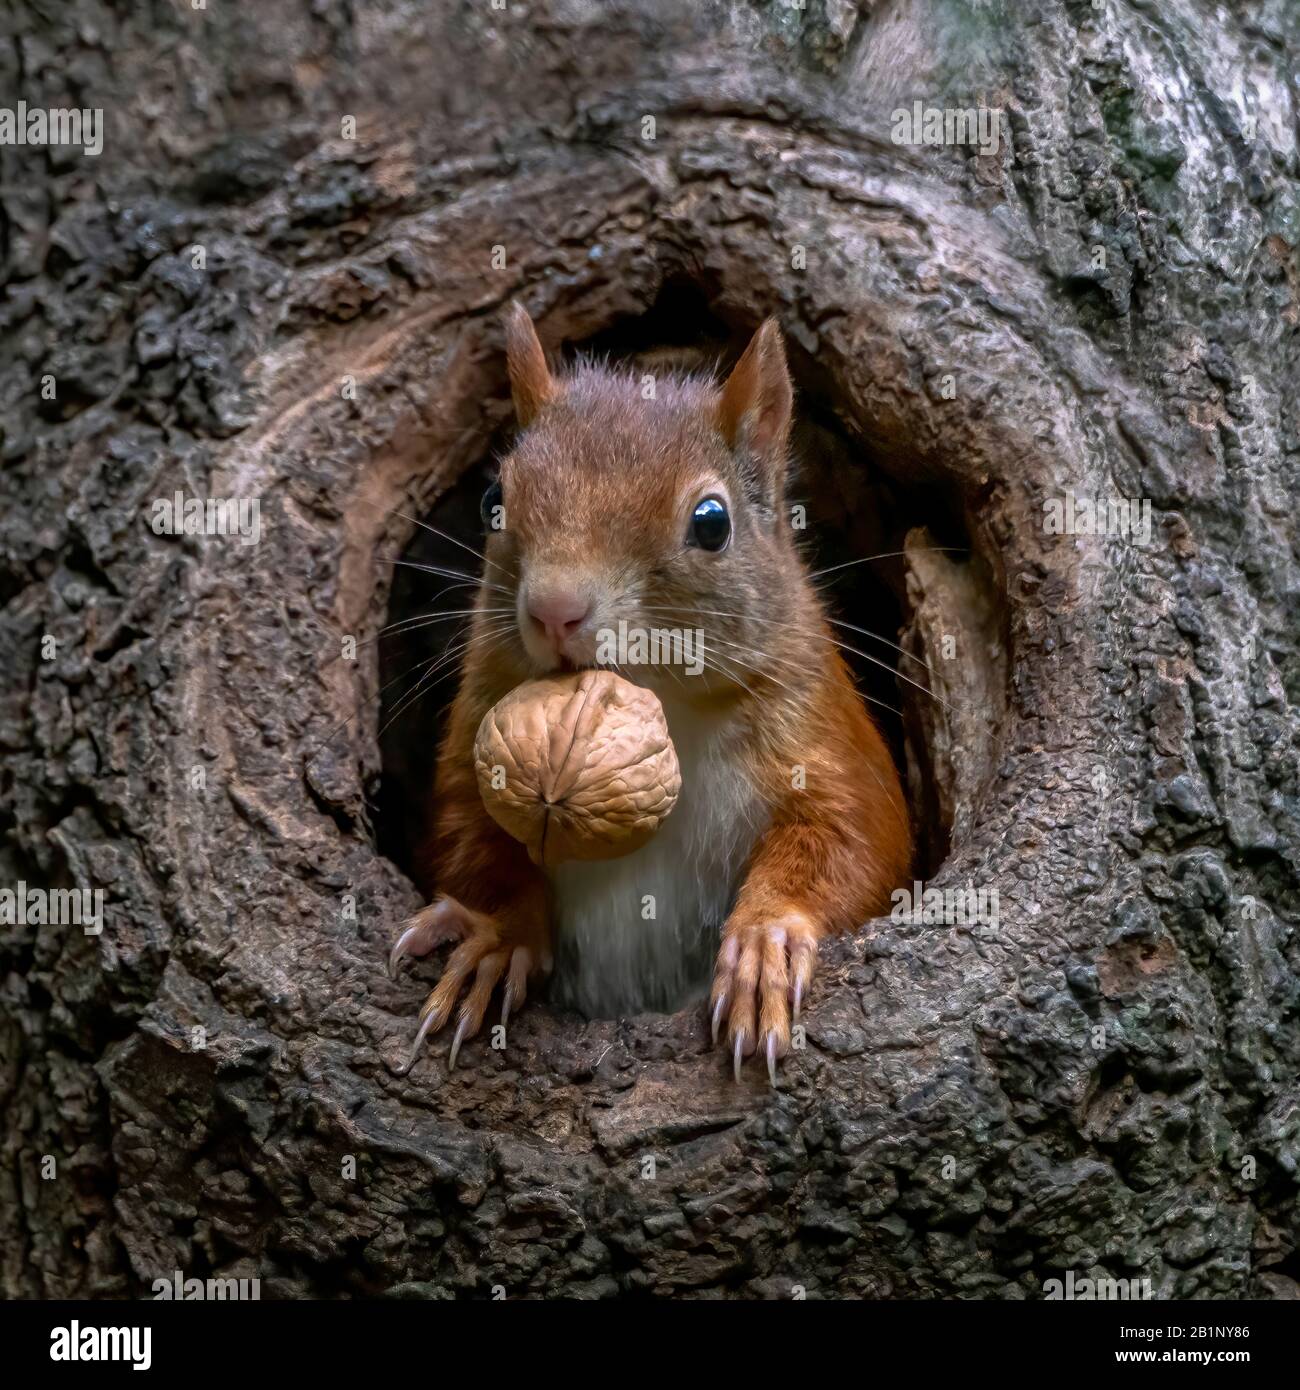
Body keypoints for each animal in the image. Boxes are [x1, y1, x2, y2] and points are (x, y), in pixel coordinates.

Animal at [389, 304, 912, 1082]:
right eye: (492, 501)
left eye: (712, 522)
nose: (554, 610)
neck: (669, 706)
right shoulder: (477, 724)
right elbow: (468, 838)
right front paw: (494, 938)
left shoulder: (820, 730)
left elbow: (858, 840)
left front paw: (765, 942)